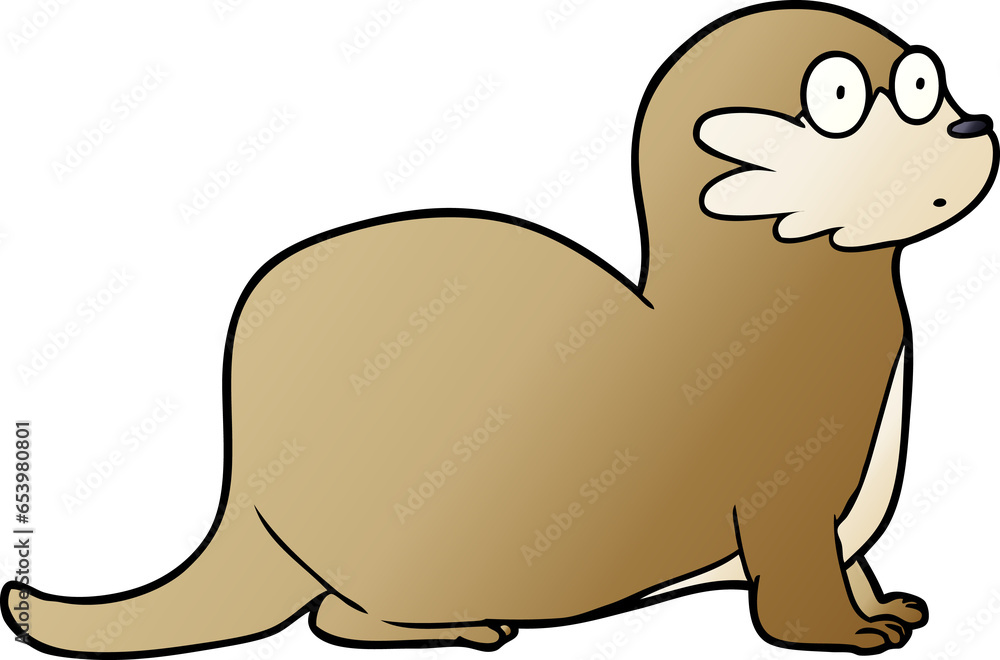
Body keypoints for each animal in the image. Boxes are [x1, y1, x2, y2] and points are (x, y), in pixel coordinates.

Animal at [4, 1, 997, 656]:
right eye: (842, 99)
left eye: (925, 79)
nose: (972, 122)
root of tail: (245, 484)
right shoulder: (784, 489)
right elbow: (795, 589)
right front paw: (850, 632)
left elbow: (855, 564)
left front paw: (889, 606)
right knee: (333, 617)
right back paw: (464, 627)